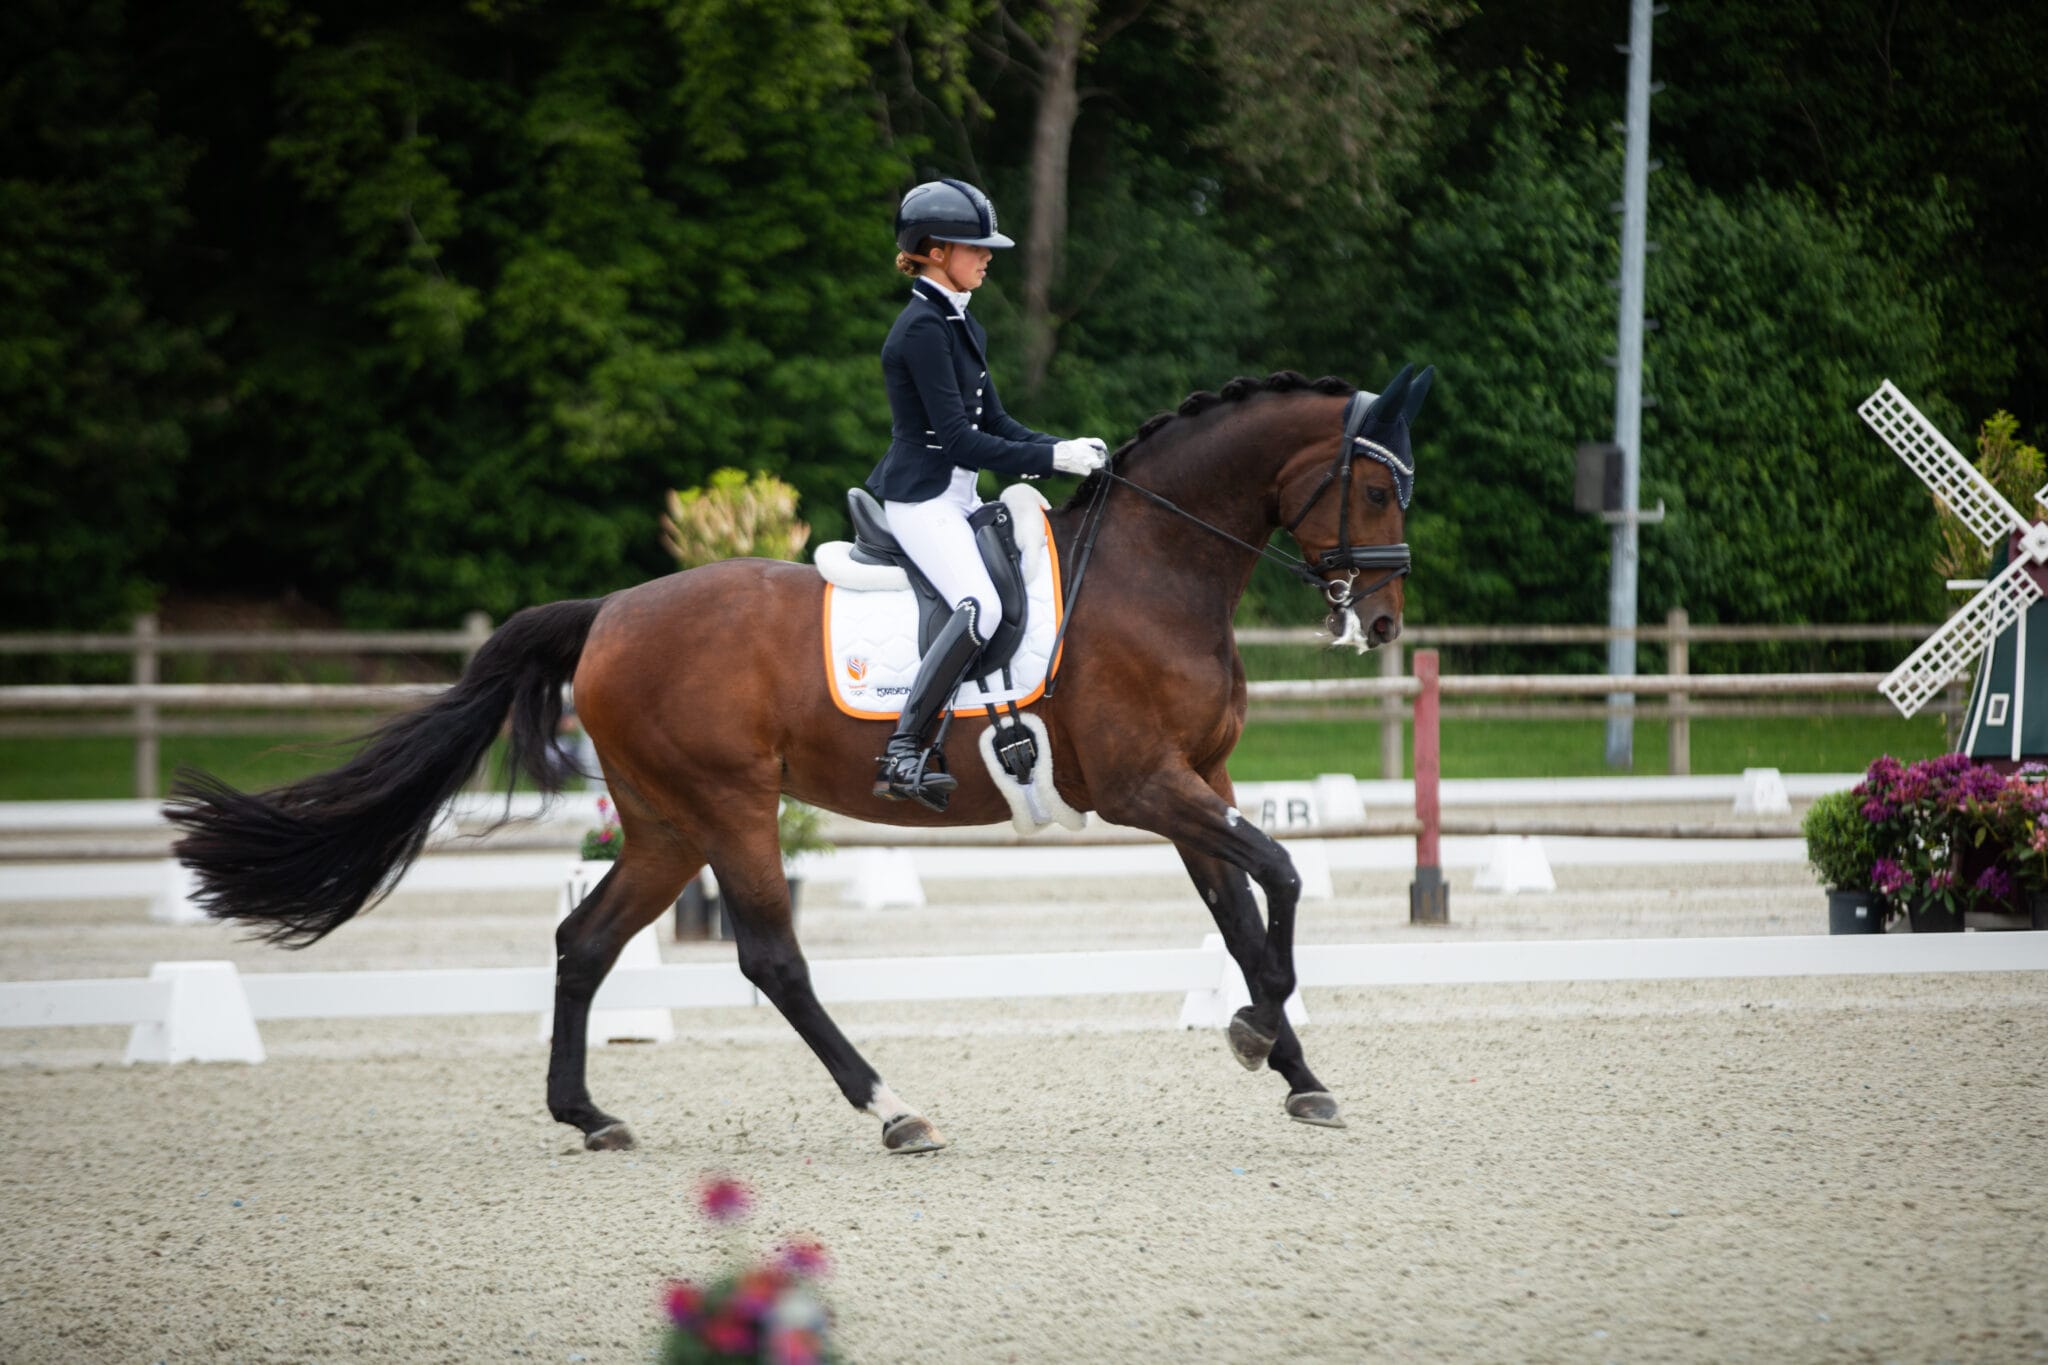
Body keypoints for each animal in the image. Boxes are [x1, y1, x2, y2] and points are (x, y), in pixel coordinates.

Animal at [168, 364, 1433, 1155]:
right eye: (1374, 484)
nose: (1377, 622)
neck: (1155, 571)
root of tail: (608, 611)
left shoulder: (1199, 785)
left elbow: (1242, 914)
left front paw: (1294, 1070)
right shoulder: (1143, 789)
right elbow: (1280, 880)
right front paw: (1256, 1032)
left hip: (666, 822)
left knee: (584, 942)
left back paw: (588, 1115)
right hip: (729, 807)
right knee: (771, 959)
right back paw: (893, 1110)